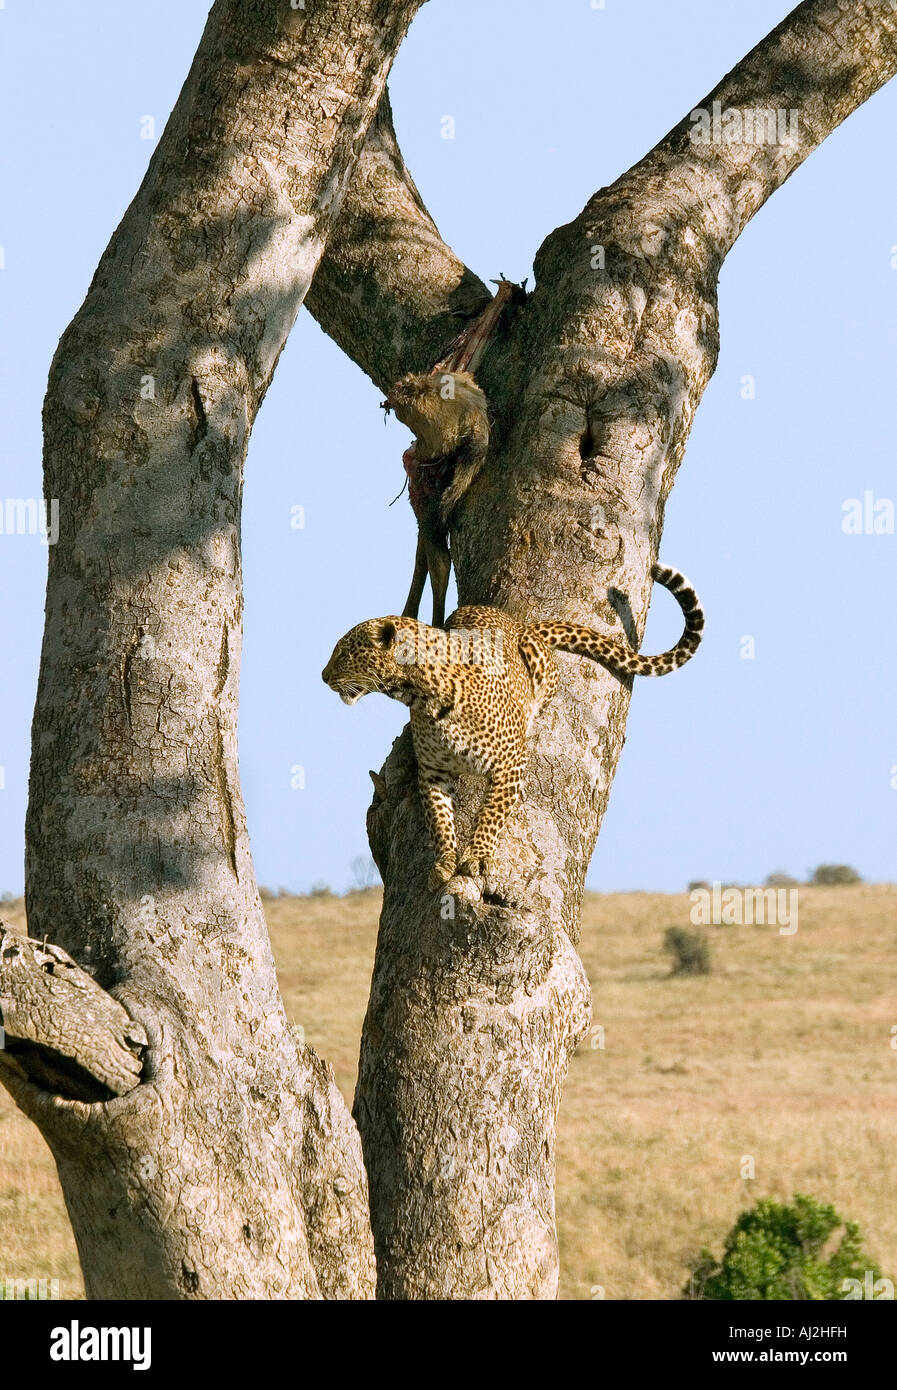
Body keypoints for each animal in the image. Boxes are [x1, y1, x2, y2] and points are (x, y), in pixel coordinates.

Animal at [322, 563, 704, 891]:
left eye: (344, 653)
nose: (324, 676)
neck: (421, 694)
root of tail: (521, 624)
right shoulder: (433, 772)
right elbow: (440, 821)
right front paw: (444, 862)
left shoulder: (509, 763)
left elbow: (492, 813)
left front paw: (476, 857)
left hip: (538, 663)